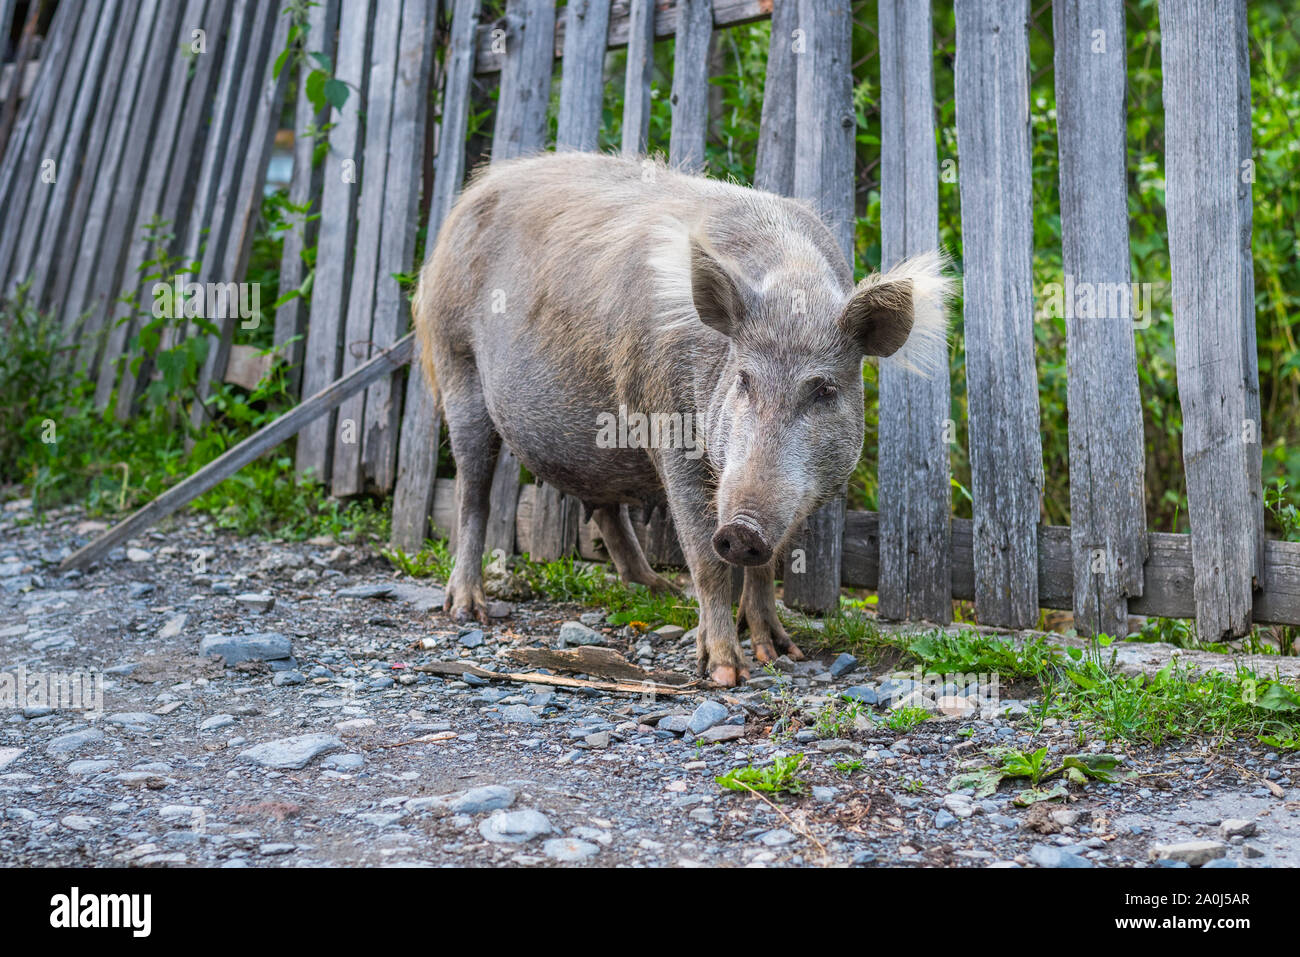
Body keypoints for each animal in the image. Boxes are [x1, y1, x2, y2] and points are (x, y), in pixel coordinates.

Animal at [412, 152, 951, 686]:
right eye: (743, 379)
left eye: (824, 390)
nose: (743, 528)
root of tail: (470, 198)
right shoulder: (669, 428)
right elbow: (704, 554)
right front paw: (725, 672)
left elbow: (766, 566)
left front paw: (781, 653)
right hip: (457, 364)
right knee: (472, 493)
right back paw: (467, 609)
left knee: (603, 506)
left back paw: (657, 591)